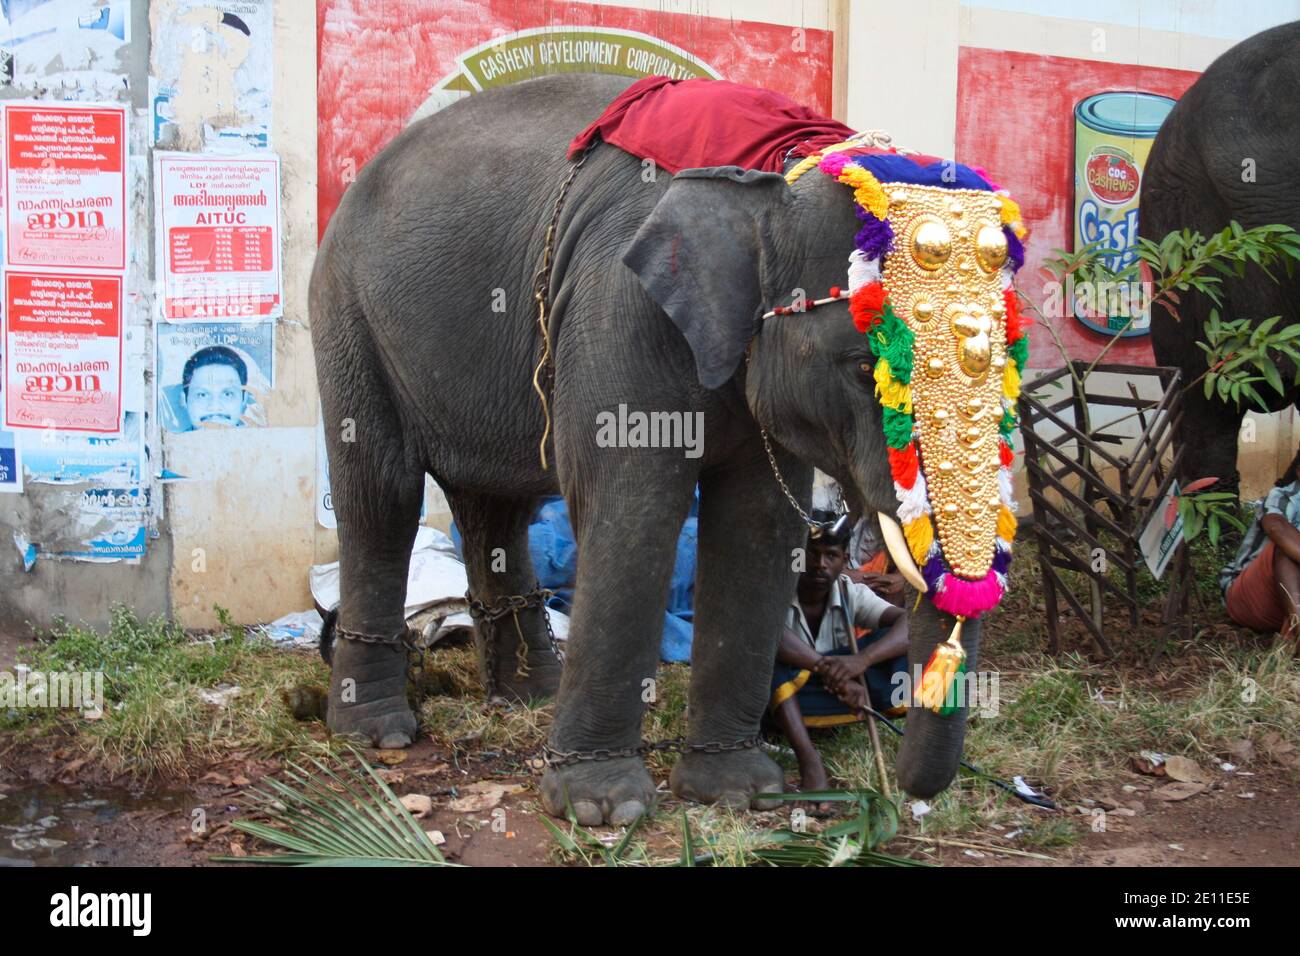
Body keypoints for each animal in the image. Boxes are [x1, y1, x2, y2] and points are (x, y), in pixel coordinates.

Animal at [309, 72, 1016, 825]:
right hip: (346, 309)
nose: (904, 794)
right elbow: (636, 508)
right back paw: (377, 732)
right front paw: (603, 808)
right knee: (381, 494)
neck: (778, 171)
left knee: (497, 508)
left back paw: (530, 695)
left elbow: (760, 522)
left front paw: (737, 793)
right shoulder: (619, 303)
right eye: (862, 366)